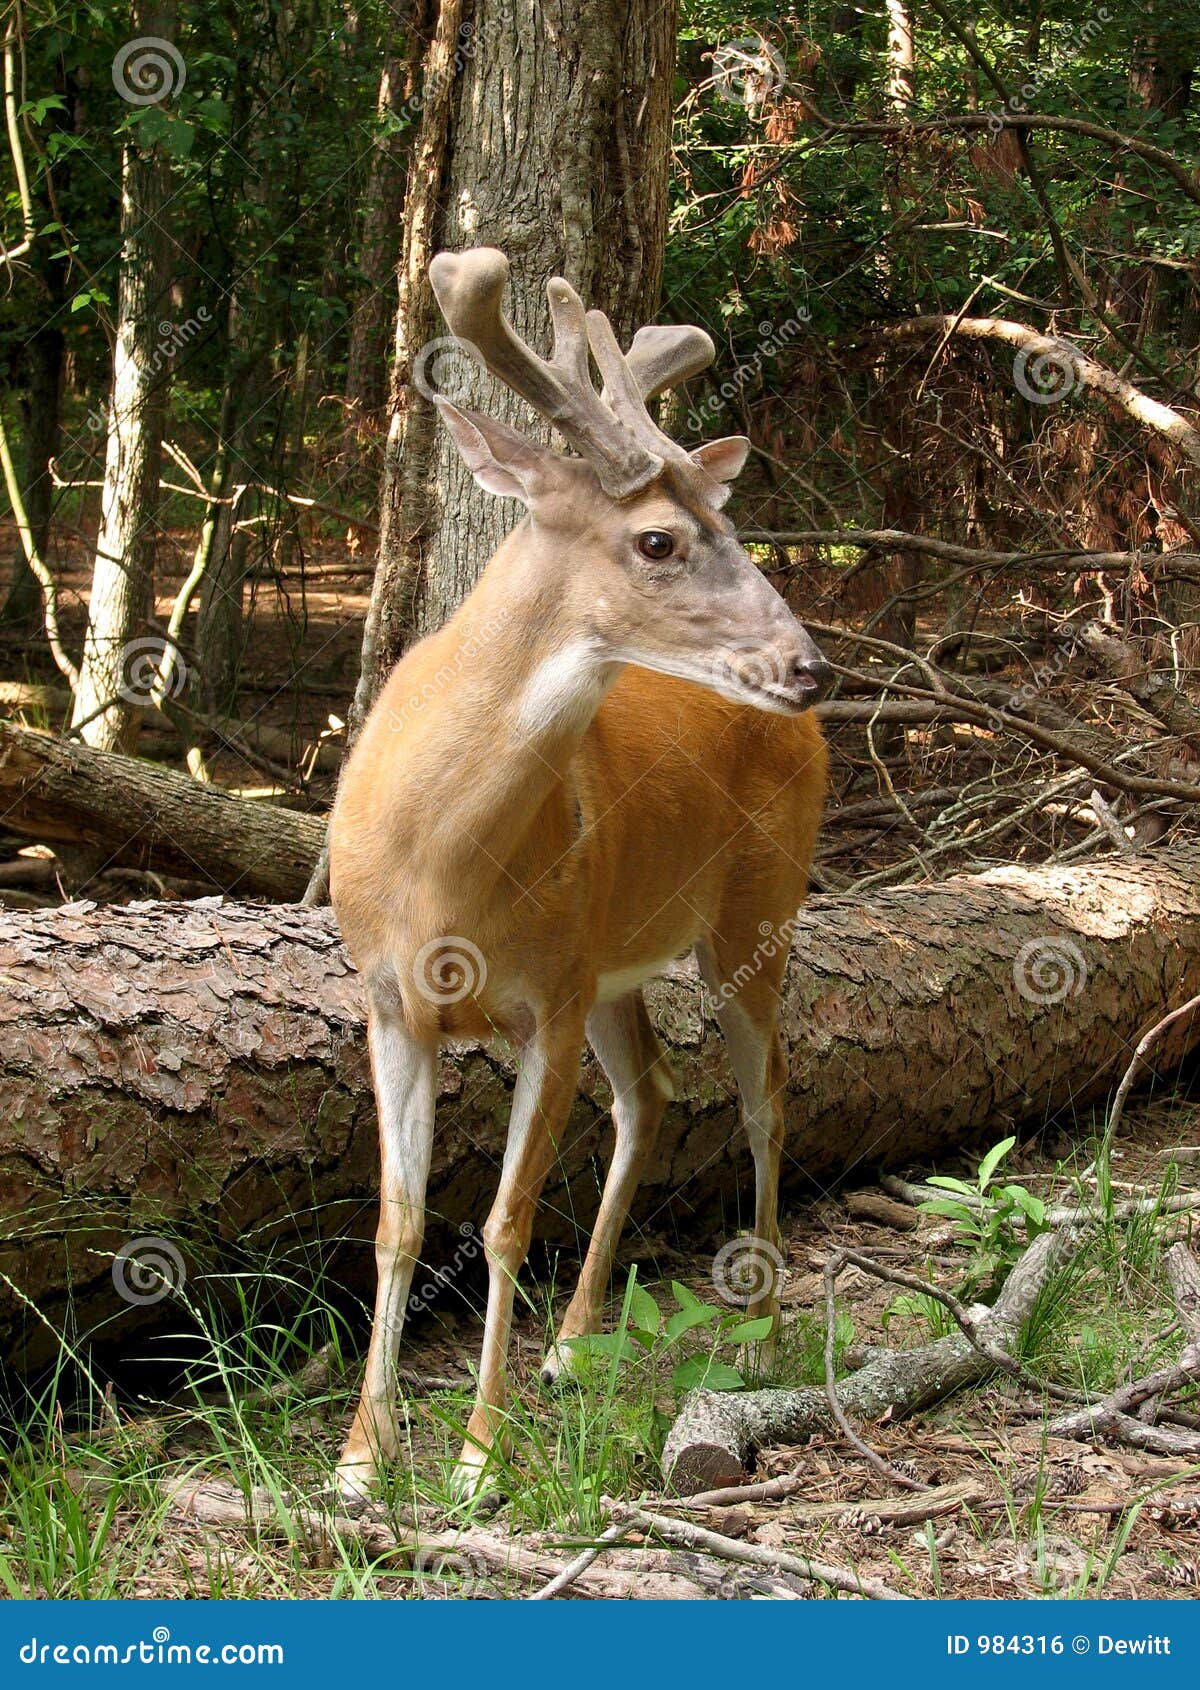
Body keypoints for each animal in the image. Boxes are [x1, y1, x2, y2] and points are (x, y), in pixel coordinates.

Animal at [330, 247, 829, 1501]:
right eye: (658, 538)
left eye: (725, 517)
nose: (810, 664)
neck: (437, 863)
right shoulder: (387, 996)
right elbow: (399, 1221)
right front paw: (360, 1459)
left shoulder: (543, 1000)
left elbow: (504, 1221)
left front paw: (474, 1461)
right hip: (613, 961)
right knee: (650, 1091)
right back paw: (569, 1346)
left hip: (755, 915)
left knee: (766, 1091)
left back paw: (771, 1326)